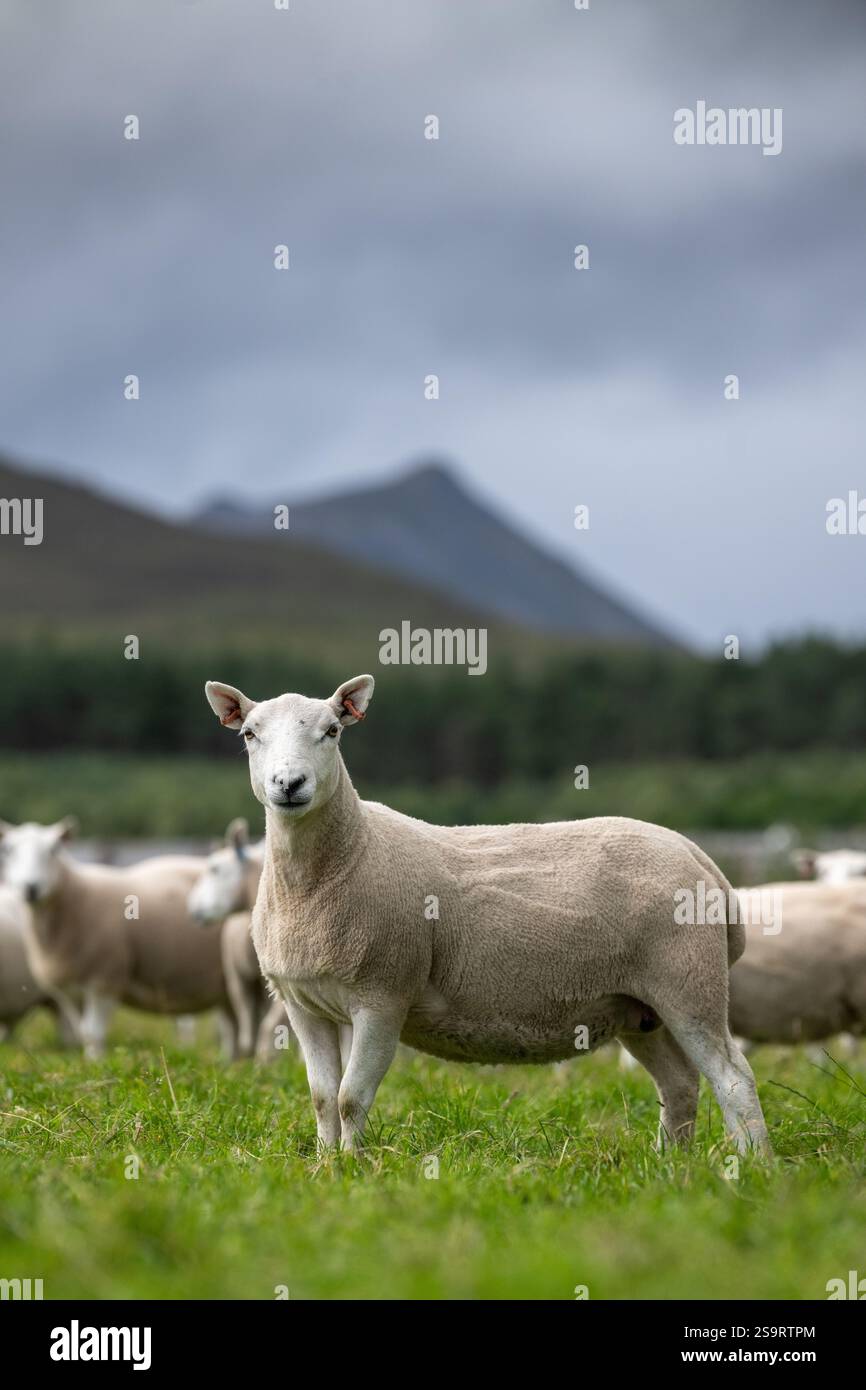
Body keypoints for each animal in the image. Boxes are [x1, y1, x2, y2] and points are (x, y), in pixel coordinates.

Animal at [0, 818, 238, 1059]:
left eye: (53, 850)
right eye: (8, 849)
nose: (30, 888)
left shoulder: (106, 978)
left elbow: (93, 1031)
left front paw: (96, 1062)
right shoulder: (67, 992)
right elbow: (82, 1032)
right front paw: (88, 1060)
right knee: (231, 1024)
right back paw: (230, 1059)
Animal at [187, 818, 289, 1060]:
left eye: (214, 868)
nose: (192, 908)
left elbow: (271, 1025)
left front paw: (265, 1060)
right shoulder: (239, 980)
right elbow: (248, 1032)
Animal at [205, 674, 771, 1156]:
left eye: (333, 731)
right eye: (250, 734)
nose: (289, 783)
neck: (338, 863)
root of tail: (699, 857)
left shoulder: (383, 997)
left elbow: (350, 1098)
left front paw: (353, 1167)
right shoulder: (302, 1004)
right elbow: (323, 1098)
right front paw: (327, 1168)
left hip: (687, 980)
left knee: (733, 1076)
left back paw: (752, 1166)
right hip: (638, 1006)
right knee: (680, 1084)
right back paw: (671, 1165)